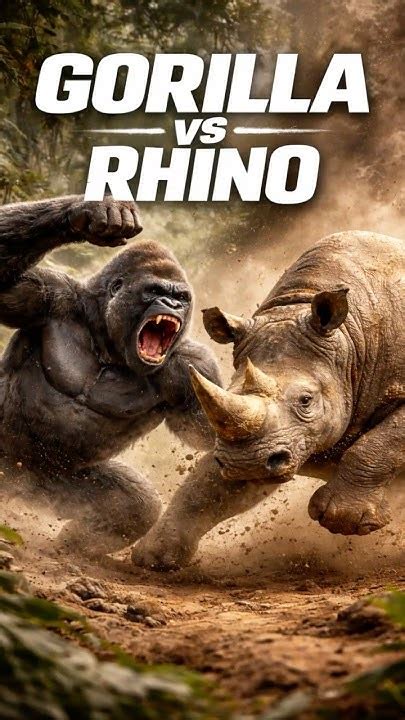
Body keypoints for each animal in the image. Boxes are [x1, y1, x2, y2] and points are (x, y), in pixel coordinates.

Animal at [0, 195, 220, 557]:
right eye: (154, 291)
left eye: (181, 297)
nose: (172, 304)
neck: (106, 337)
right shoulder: (46, 294)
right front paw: (90, 210)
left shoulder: (194, 367)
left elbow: (216, 439)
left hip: (44, 482)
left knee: (134, 506)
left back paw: (71, 548)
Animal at [132, 231, 404, 571]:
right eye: (230, 390)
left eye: (306, 400)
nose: (244, 463)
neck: (350, 343)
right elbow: (210, 484)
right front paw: (152, 556)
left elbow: (381, 442)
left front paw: (344, 520)